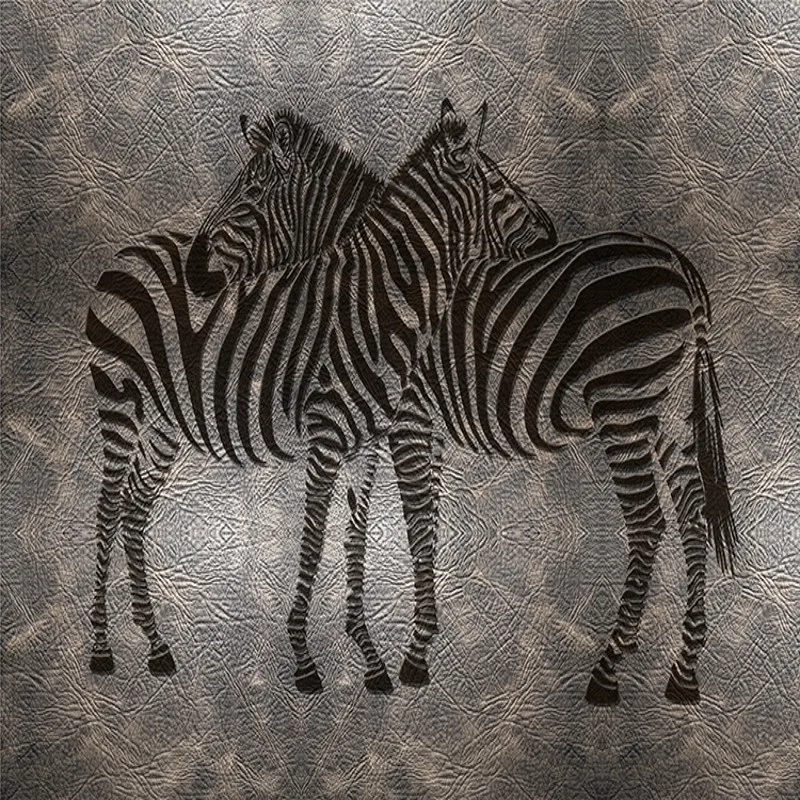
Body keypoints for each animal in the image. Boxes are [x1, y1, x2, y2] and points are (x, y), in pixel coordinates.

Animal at [86, 100, 555, 692]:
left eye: (253, 188)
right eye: (496, 183)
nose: (551, 233)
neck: (378, 300)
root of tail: (125, 251)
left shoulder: (373, 440)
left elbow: (364, 532)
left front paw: (375, 656)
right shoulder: (355, 433)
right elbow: (338, 532)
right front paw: (326, 658)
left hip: (166, 422)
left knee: (134, 506)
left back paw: (155, 645)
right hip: (120, 404)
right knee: (105, 507)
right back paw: (102, 648)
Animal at [346, 231, 738, 704]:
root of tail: (678, 263)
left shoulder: (408, 412)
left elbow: (414, 521)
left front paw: (413, 654)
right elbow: (394, 515)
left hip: (622, 398)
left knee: (648, 520)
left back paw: (608, 669)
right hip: (673, 409)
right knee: (691, 514)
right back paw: (684, 669)